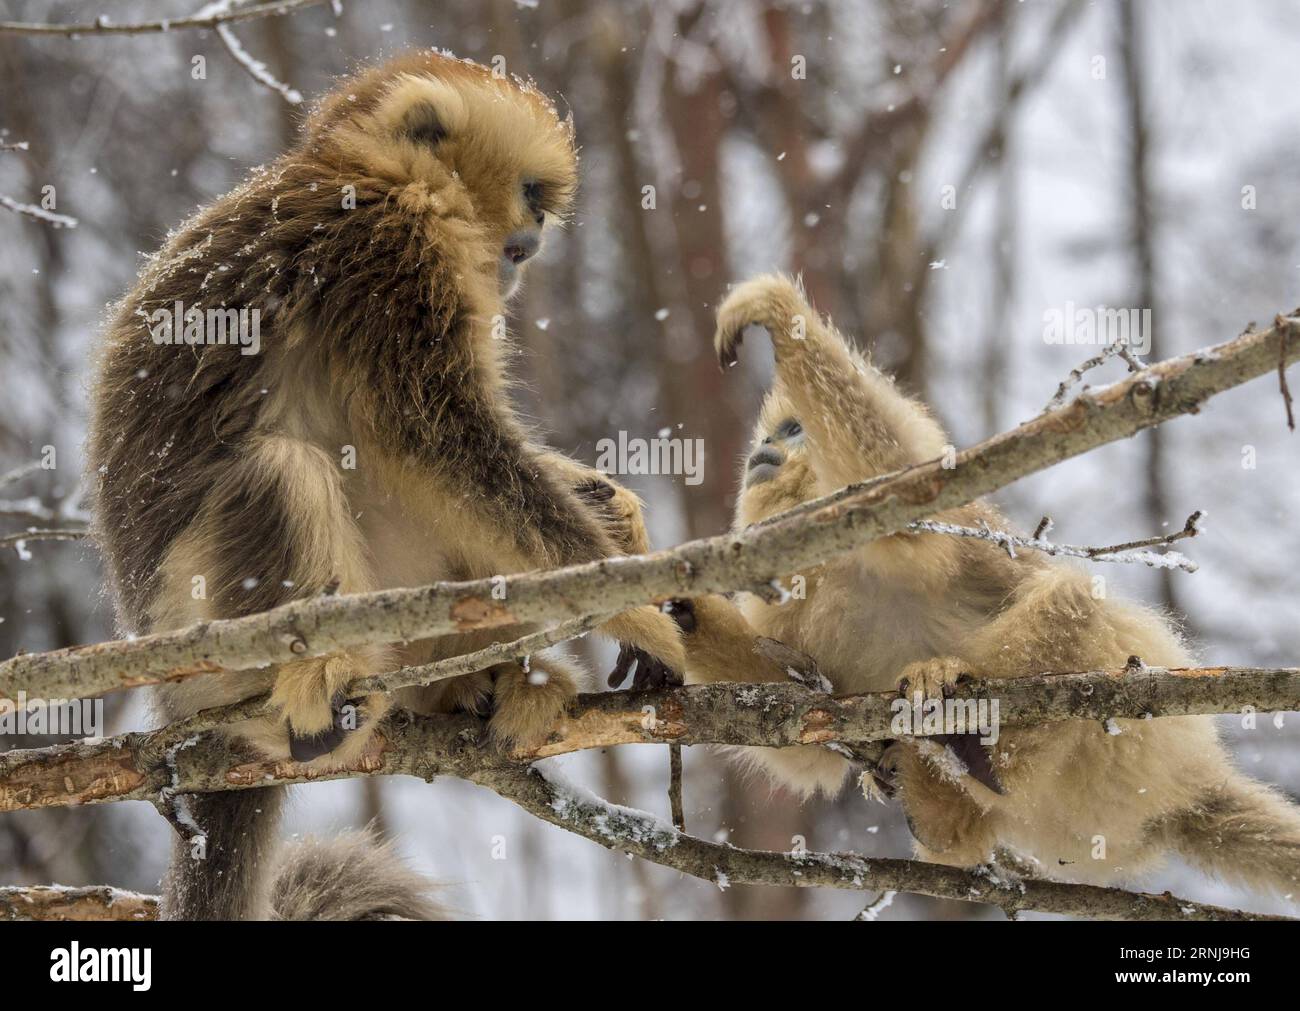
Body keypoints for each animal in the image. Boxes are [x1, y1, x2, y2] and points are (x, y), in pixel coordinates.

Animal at [87, 50, 686, 919]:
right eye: (533, 192)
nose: (537, 237)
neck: (366, 172)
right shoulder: (389, 250)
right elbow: (438, 440)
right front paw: (643, 610)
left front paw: (625, 524)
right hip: (195, 636)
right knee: (282, 471)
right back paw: (318, 704)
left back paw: (485, 684)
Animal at [678, 272, 1300, 897]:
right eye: (771, 434)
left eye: (793, 430)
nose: (764, 451)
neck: (827, 562)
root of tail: (1188, 788)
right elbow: (794, 728)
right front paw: (677, 608)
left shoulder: (938, 523)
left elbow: (907, 501)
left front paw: (773, 307)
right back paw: (937, 809)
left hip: (1124, 744)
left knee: (1075, 602)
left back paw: (959, 739)